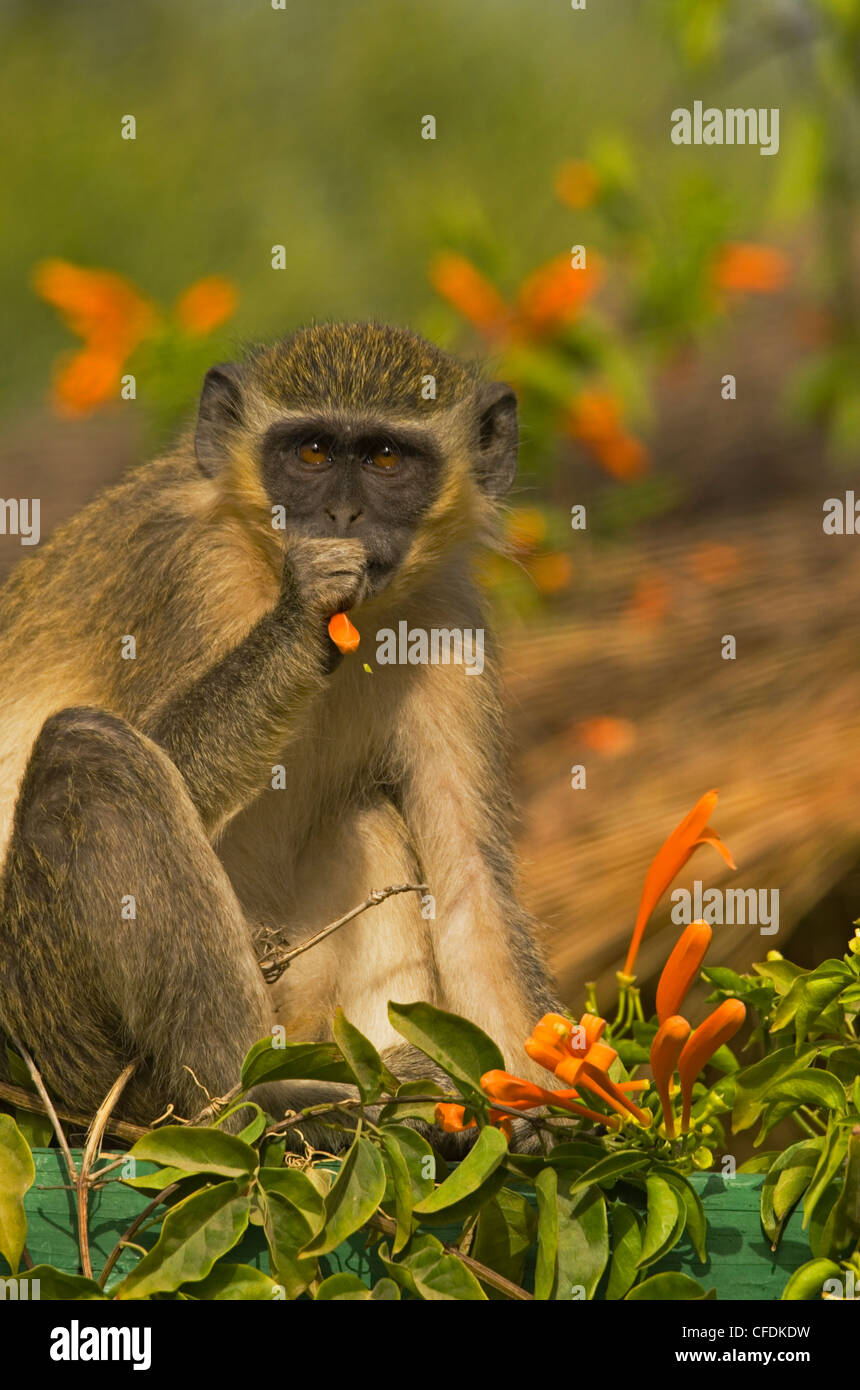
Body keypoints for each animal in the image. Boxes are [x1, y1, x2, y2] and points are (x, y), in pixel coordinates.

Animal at [0, 321, 561, 1145]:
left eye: (386, 458)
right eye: (313, 454)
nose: (341, 520)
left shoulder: (449, 624)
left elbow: (470, 886)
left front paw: (548, 1109)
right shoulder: (191, 575)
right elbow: (165, 755)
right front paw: (300, 619)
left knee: (366, 815)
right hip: (54, 1040)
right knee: (95, 755)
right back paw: (259, 1100)